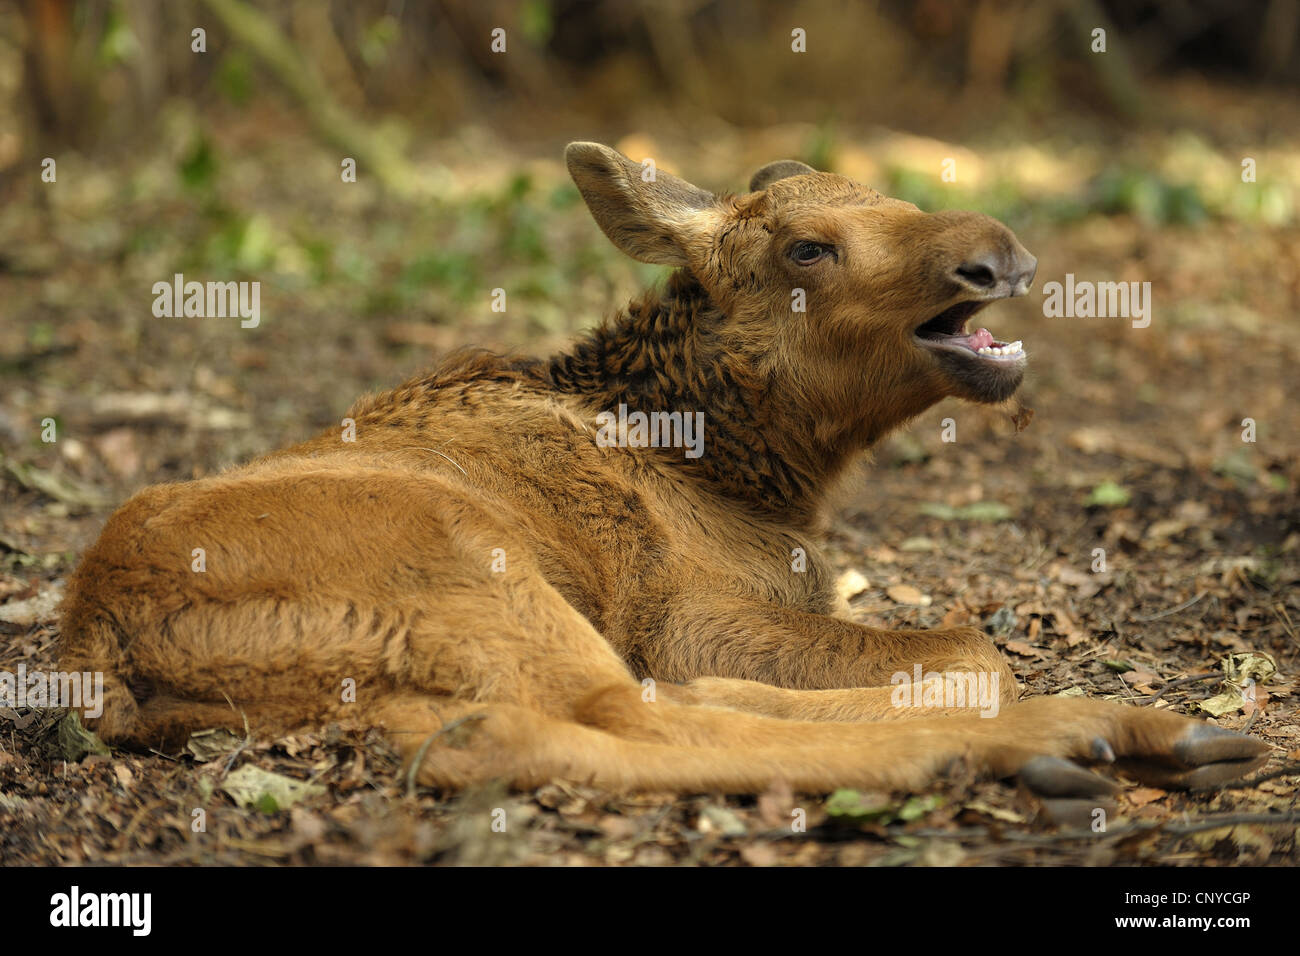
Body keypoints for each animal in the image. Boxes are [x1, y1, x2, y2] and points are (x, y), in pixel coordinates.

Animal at [58, 142, 1270, 799]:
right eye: (805, 248)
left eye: (893, 200)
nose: (997, 254)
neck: (754, 475)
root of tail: (90, 641)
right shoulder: (690, 610)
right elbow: (976, 644)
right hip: (460, 557)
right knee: (601, 716)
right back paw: (1067, 739)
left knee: (576, 715)